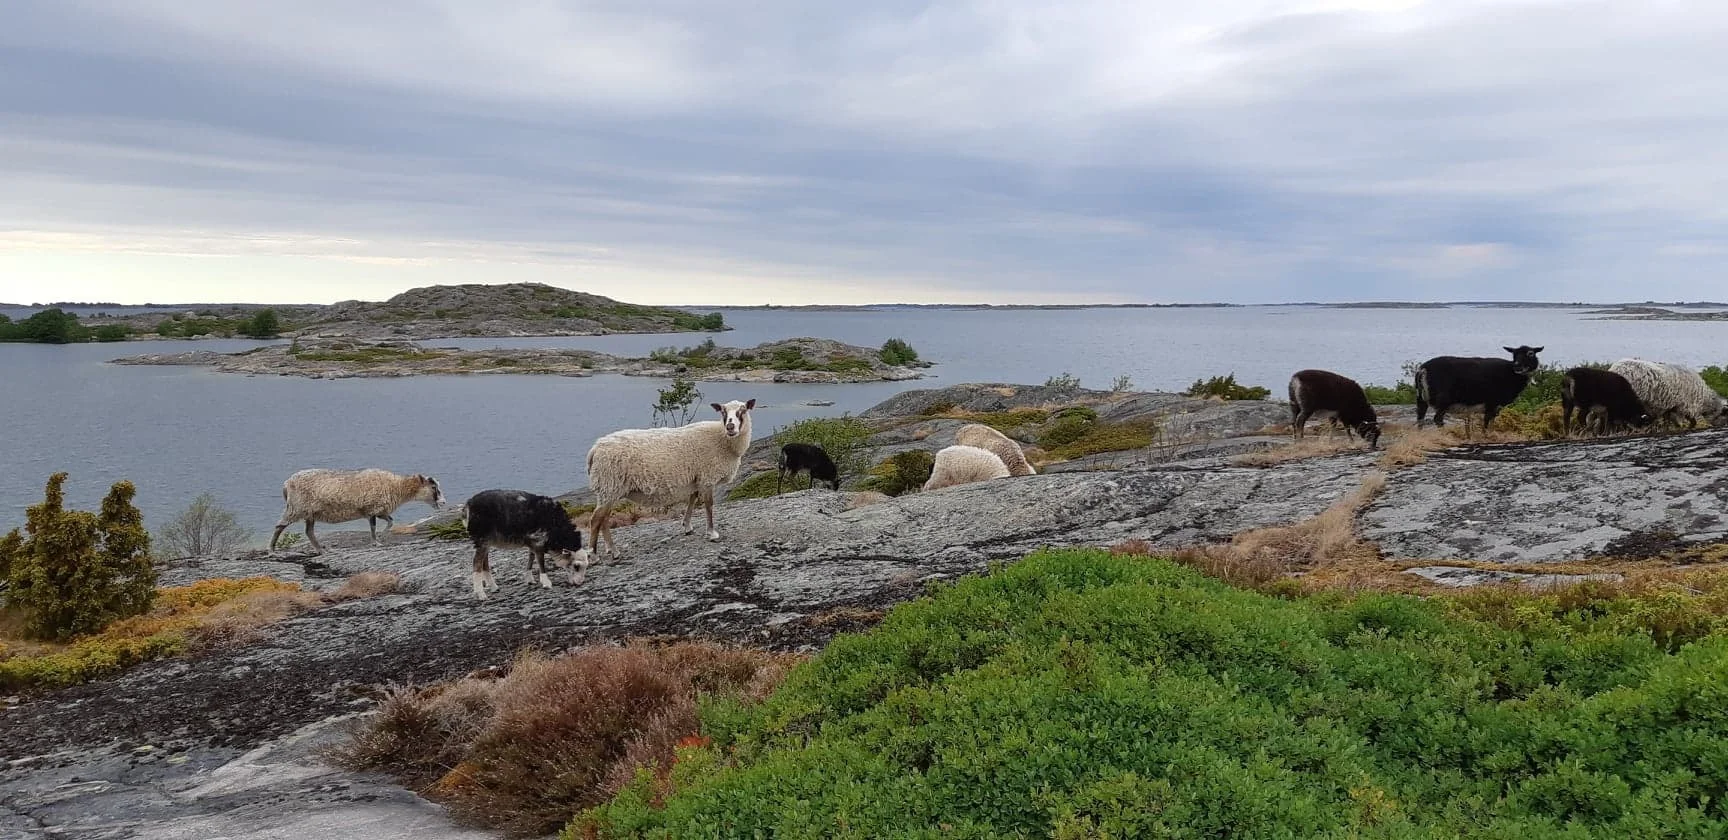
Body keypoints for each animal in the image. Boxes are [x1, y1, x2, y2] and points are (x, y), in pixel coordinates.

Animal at [270, 468, 444, 553]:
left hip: (309, 513)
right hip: (296, 507)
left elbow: (390, 522)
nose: (443, 503)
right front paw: (376, 541)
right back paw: (271, 549)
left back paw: (320, 550)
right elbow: (373, 527)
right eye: (433, 487)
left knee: (309, 532)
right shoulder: (372, 508)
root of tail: (286, 484)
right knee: (280, 526)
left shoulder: (378, 510)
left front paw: (381, 537)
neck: (397, 487)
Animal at [463, 489, 593, 600]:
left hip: (488, 540)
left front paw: (529, 579)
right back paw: (481, 594)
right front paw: (546, 582)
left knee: (484, 562)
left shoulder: (532, 541)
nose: (580, 583)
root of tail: (469, 504)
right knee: (477, 563)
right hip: (482, 538)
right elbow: (541, 561)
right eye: (576, 566)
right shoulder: (539, 540)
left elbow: (531, 557)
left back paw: (494, 587)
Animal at [586, 398, 756, 558]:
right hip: (609, 484)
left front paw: (687, 526)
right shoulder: (707, 477)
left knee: (604, 518)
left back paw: (612, 550)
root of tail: (595, 448)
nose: (730, 427)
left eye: (743, 410)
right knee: (596, 519)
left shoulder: (696, 478)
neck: (722, 439)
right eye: (723, 412)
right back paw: (594, 555)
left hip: (609, 488)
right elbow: (709, 505)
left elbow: (692, 500)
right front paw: (712, 533)